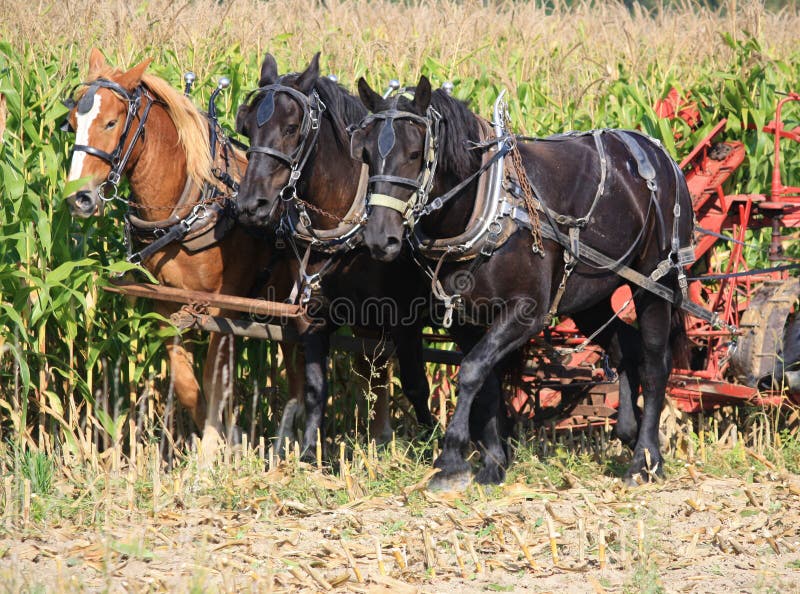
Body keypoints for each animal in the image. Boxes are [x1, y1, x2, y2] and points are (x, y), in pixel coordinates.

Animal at [63, 48, 305, 460]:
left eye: (111, 122)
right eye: (71, 122)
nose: (77, 198)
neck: (191, 204)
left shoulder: (224, 306)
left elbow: (215, 379)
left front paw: (210, 453)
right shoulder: (167, 306)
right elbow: (186, 382)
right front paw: (227, 440)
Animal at [234, 53, 439, 455]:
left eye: (292, 128)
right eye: (247, 127)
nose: (251, 204)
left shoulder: (403, 317)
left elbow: (413, 383)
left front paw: (432, 443)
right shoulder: (312, 316)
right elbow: (316, 389)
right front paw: (309, 455)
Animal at [351, 75, 693, 488]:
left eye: (416, 153)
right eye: (366, 154)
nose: (379, 237)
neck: (489, 204)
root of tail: (660, 154)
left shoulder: (525, 313)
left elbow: (471, 371)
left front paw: (451, 459)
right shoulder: (467, 319)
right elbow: (484, 380)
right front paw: (493, 461)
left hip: (656, 282)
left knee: (655, 361)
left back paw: (645, 458)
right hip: (592, 294)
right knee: (624, 346)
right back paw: (629, 431)